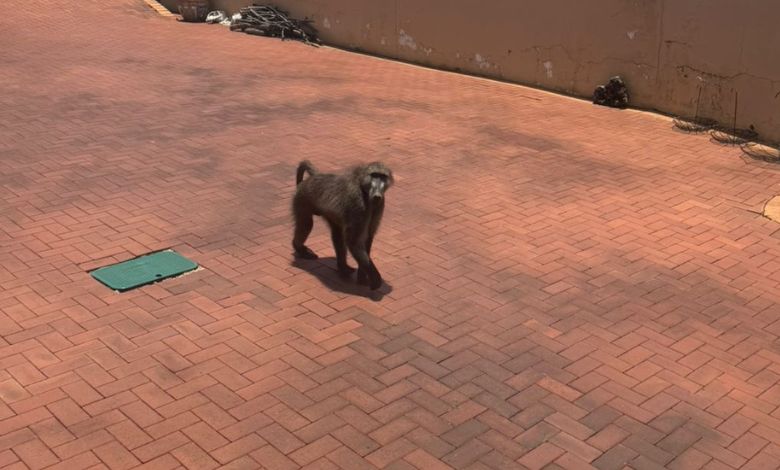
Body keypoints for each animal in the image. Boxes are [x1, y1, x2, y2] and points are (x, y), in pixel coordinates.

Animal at [292, 160, 393, 290]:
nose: (377, 195)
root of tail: (313, 177)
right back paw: (299, 248)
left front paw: (363, 278)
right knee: (306, 224)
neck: (364, 191)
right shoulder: (357, 205)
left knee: (337, 233)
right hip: (302, 198)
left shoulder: (380, 205)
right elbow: (354, 241)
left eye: (383, 177)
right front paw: (375, 280)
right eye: (374, 175)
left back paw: (343, 268)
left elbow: (368, 238)